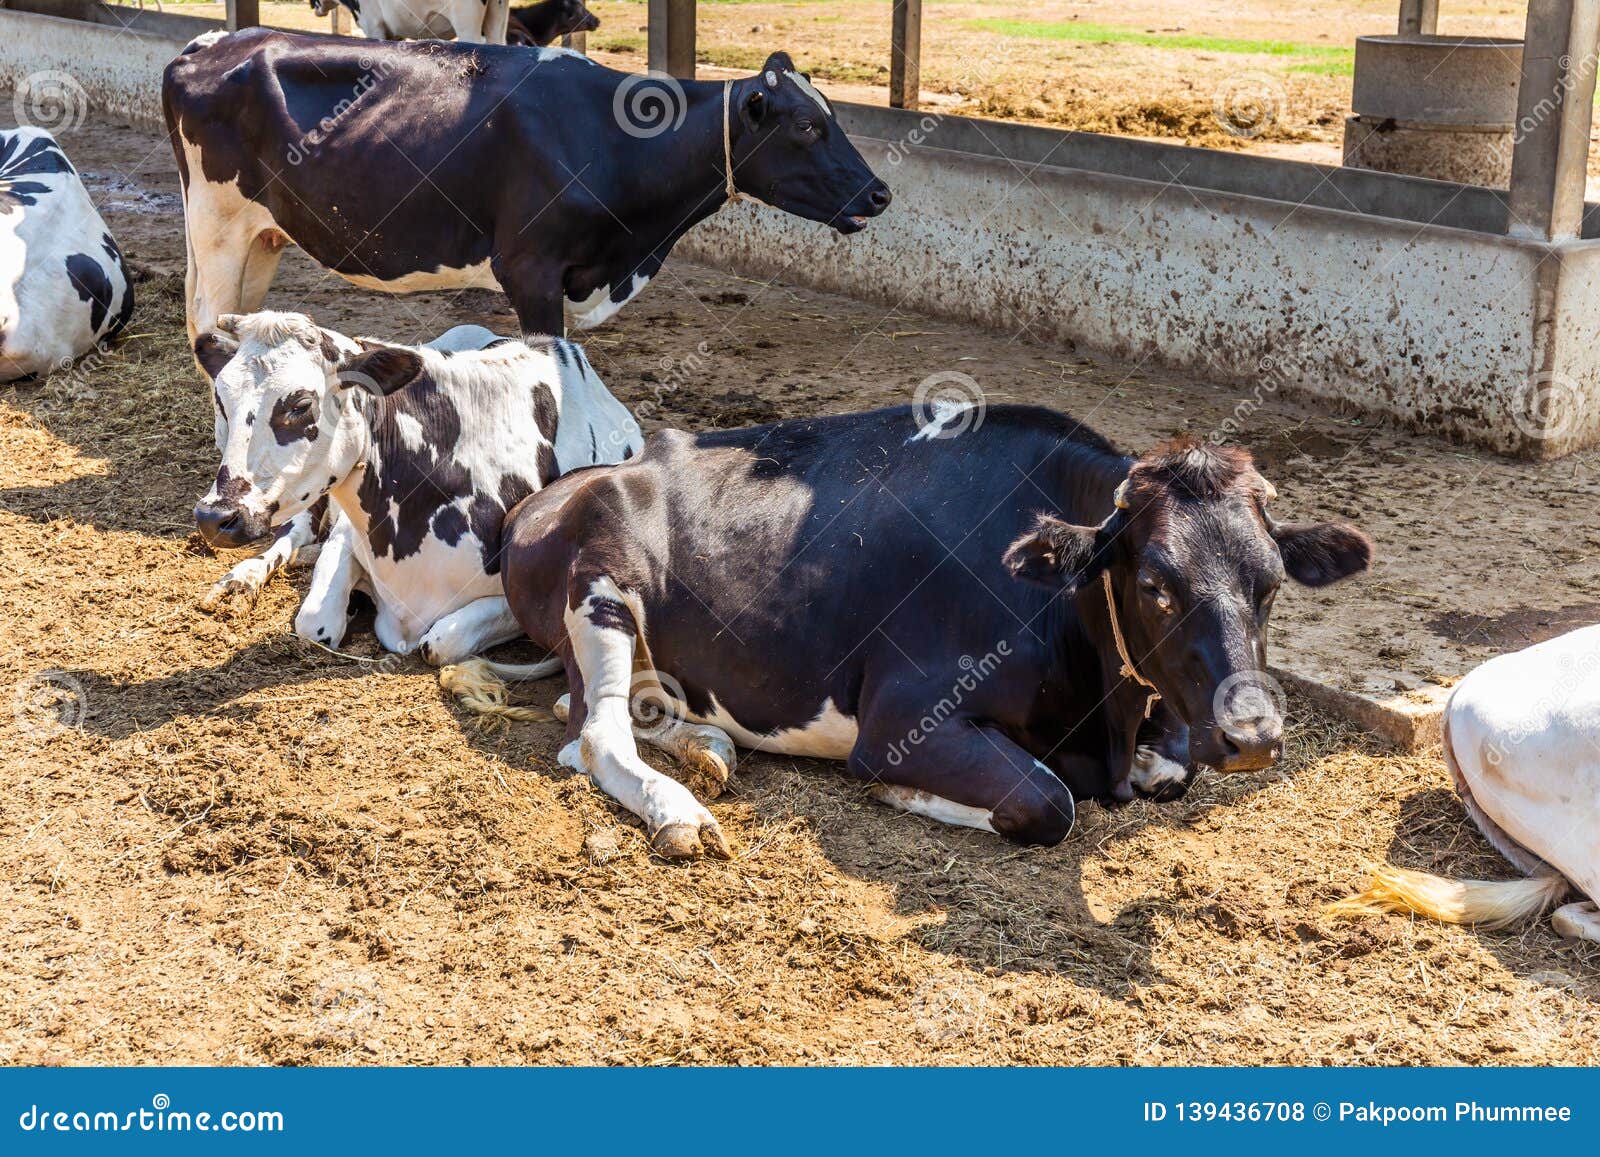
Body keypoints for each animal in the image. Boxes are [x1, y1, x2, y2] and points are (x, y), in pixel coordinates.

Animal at [162, 30, 890, 342]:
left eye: (832, 115)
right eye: (807, 126)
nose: (880, 193)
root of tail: (209, 44)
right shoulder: (529, 268)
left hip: (262, 233)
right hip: (216, 225)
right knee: (206, 323)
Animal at [192, 310, 642, 663]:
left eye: (300, 404)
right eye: (221, 399)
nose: (214, 516)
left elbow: (441, 640)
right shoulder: (347, 531)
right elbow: (313, 621)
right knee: (294, 534)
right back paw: (243, 576)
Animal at [441, 404, 1373, 859]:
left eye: (1271, 582)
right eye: (1156, 585)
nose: (1254, 735)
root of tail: (559, 487)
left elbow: (1171, 766)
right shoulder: (904, 716)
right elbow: (1050, 801)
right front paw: (908, 794)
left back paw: (708, 744)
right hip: (602, 588)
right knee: (593, 735)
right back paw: (680, 810)